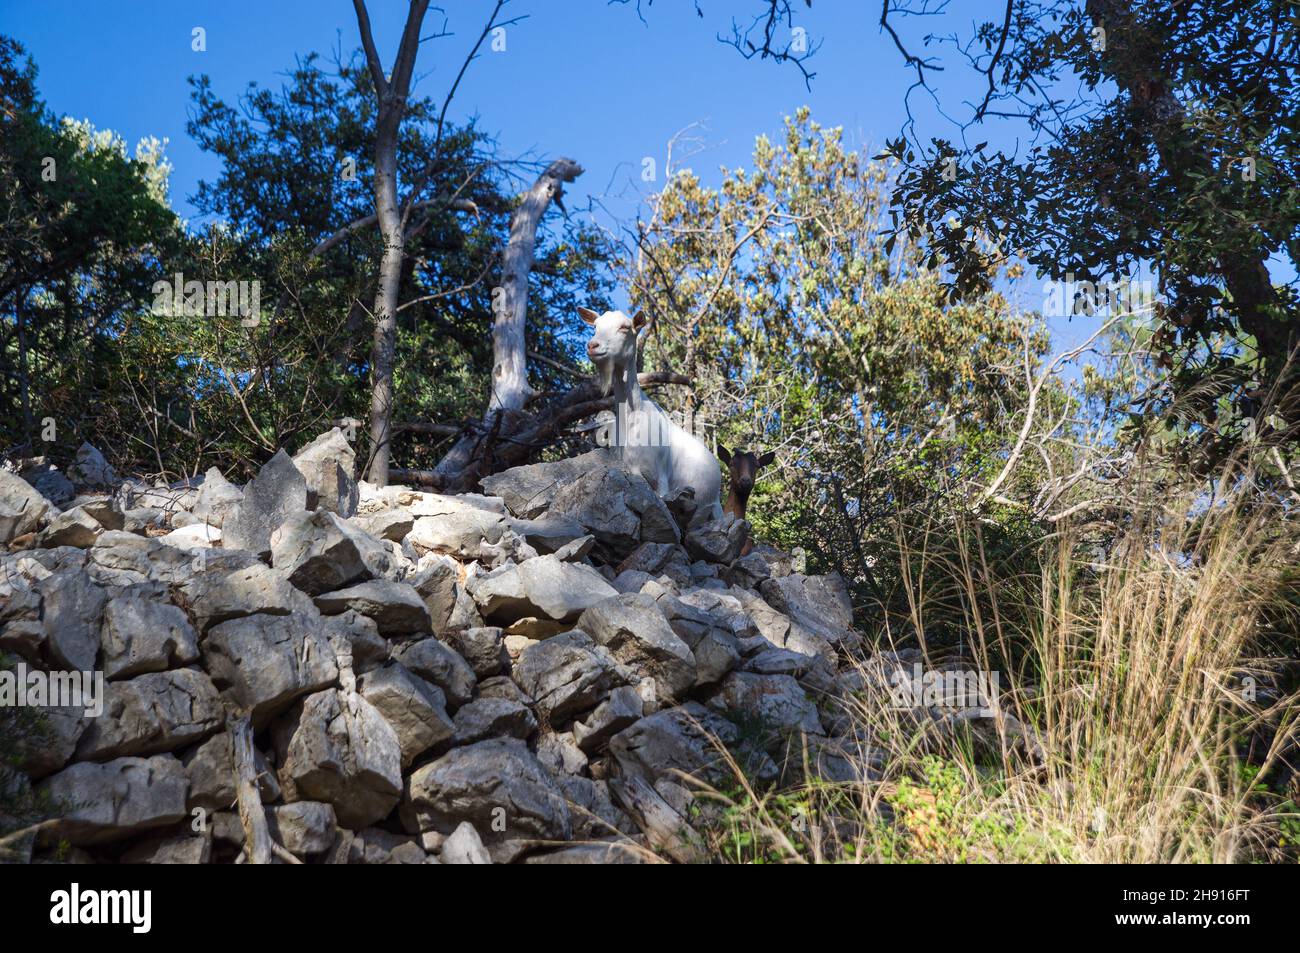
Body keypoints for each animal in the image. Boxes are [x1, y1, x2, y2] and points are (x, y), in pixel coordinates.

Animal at [580, 307, 721, 507]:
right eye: (596, 326)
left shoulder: (661, 478)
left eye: (625, 327)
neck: (632, 415)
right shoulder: (628, 468)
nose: (593, 346)